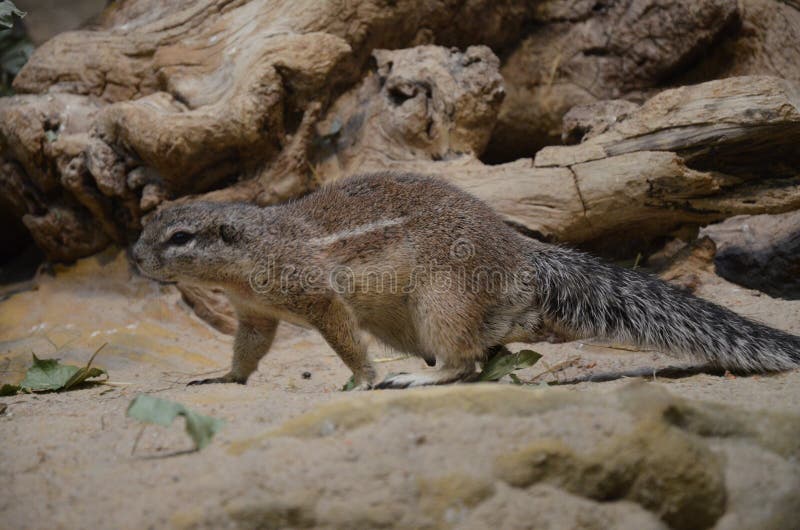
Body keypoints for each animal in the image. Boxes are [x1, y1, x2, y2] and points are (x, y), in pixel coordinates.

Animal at [132, 172, 800, 389]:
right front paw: (222, 376)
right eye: (150, 224)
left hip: (443, 301)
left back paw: (411, 378)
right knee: (483, 354)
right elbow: (248, 351)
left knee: (461, 363)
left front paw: (363, 378)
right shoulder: (256, 313)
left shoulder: (314, 294)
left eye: (180, 237)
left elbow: (343, 336)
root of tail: (520, 253)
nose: (136, 258)